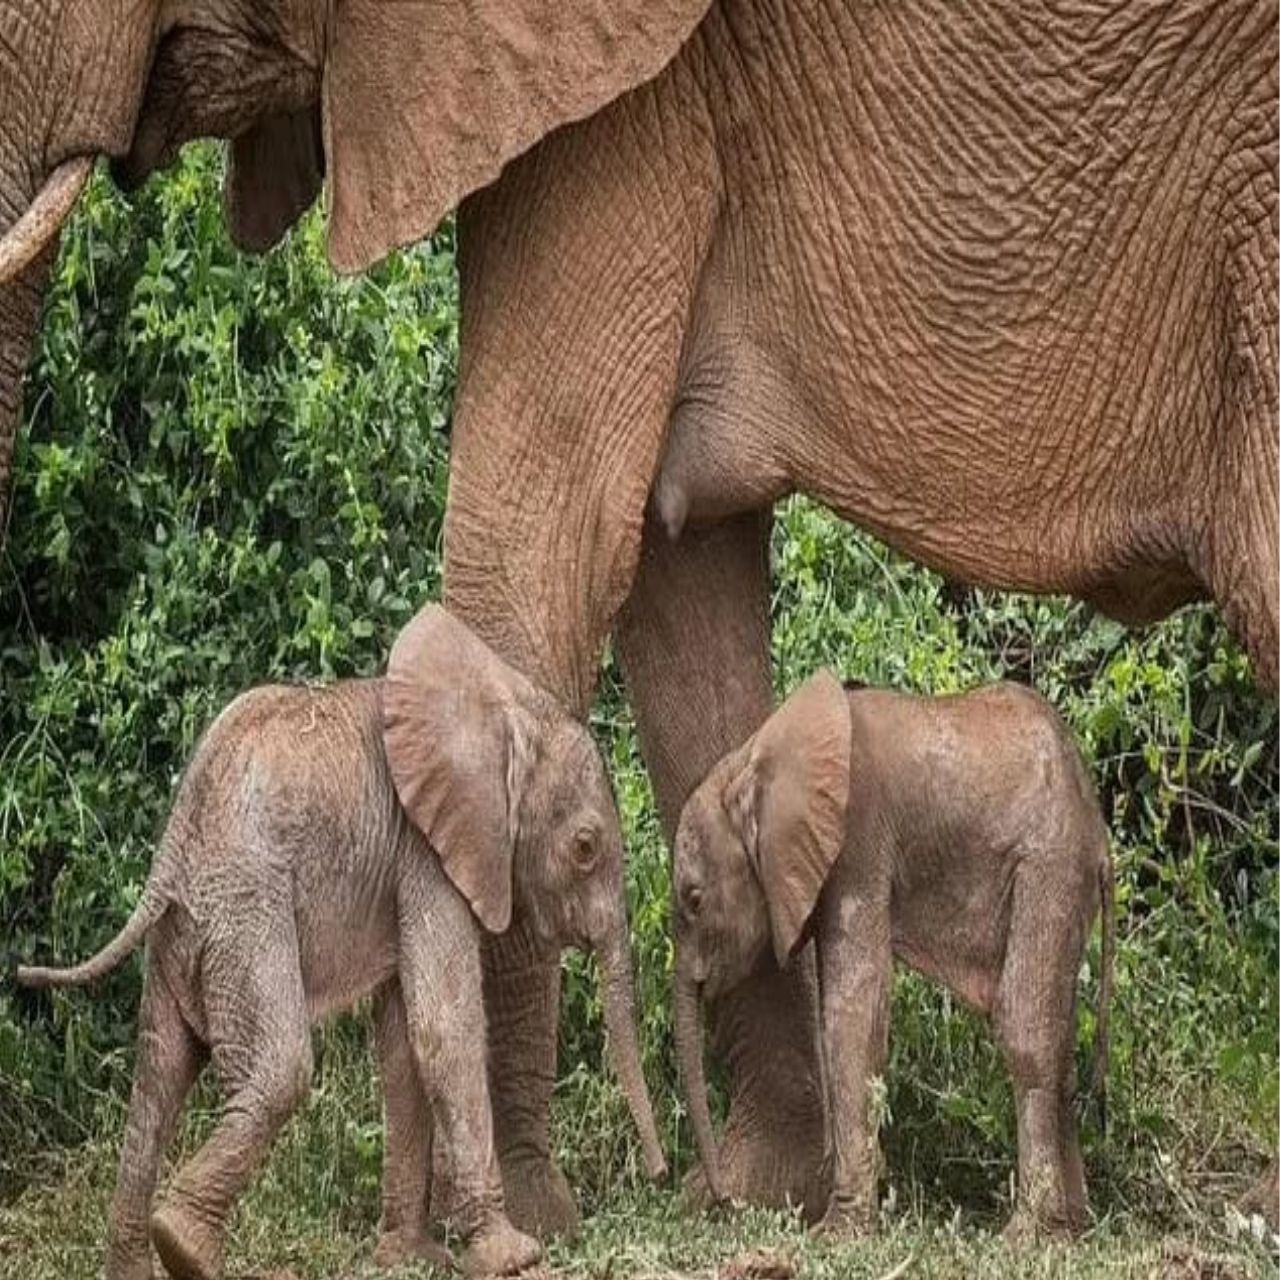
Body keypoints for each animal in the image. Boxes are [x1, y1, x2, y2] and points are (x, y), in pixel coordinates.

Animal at [16, 604, 666, 1280]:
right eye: (585, 847)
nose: (660, 1173)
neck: (502, 709)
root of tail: (173, 847)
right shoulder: (427, 854)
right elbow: (445, 1029)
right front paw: (511, 1256)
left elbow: (404, 1044)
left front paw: (410, 1256)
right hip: (245, 910)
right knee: (279, 1068)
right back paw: (185, 1248)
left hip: (186, 928)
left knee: (158, 1071)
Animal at [671, 671, 1116, 1241]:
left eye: (694, 899)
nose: (724, 1200)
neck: (752, 760)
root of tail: (1098, 830)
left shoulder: (857, 843)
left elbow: (852, 1014)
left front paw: (836, 1232)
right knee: (1057, 1036)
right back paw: (1070, 1229)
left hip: (1051, 865)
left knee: (1025, 1029)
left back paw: (1026, 1236)